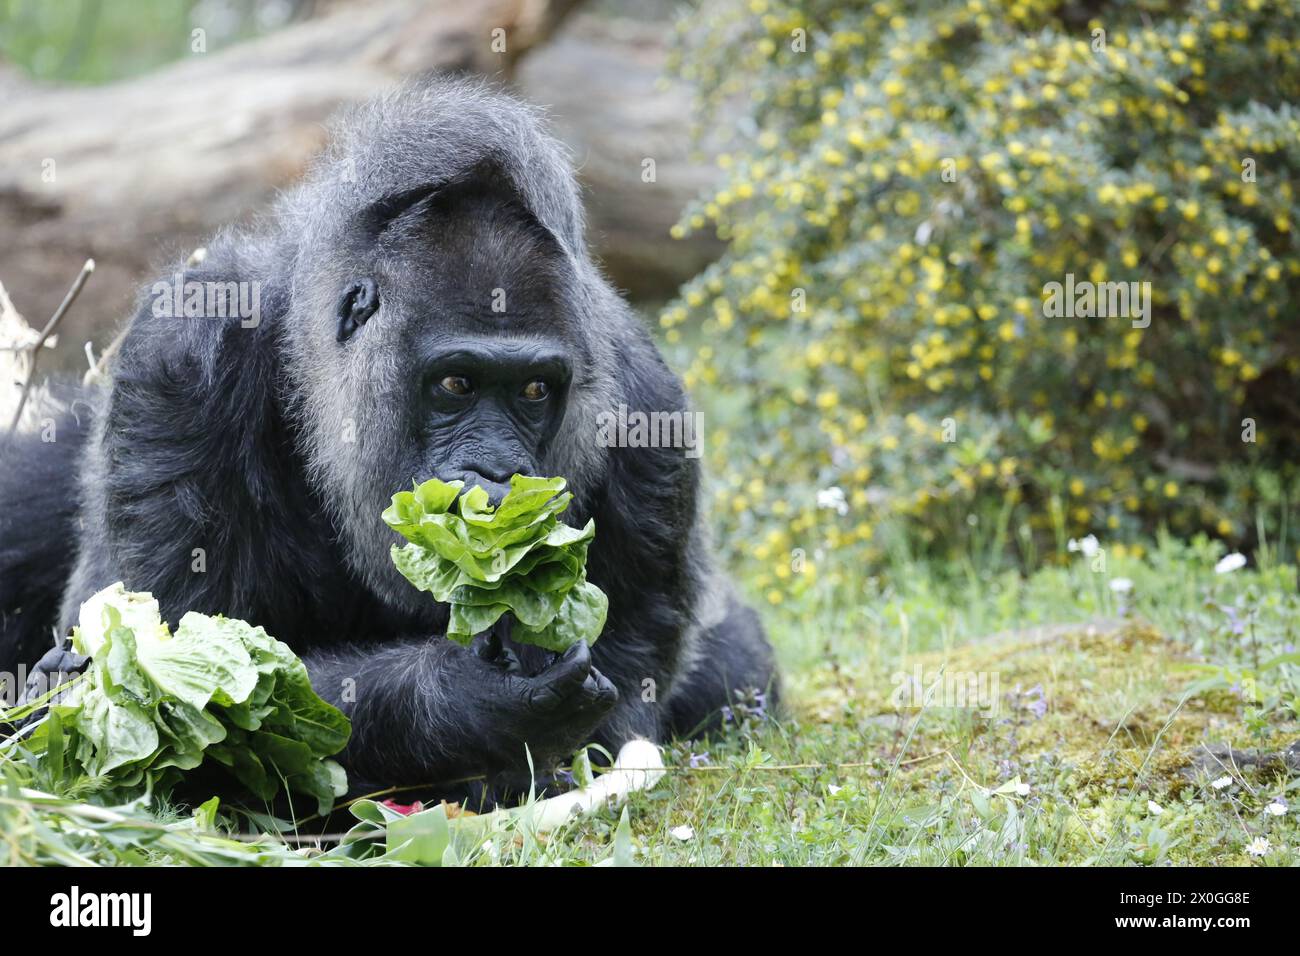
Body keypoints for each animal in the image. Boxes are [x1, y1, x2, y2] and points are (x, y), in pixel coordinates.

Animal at [0, 77, 777, 799]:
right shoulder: (181, 359)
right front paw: (464, 703)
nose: (497, 476)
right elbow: (168, 678)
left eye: (534, 391)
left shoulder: (651, 408)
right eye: (456, 384)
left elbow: (614, 719)